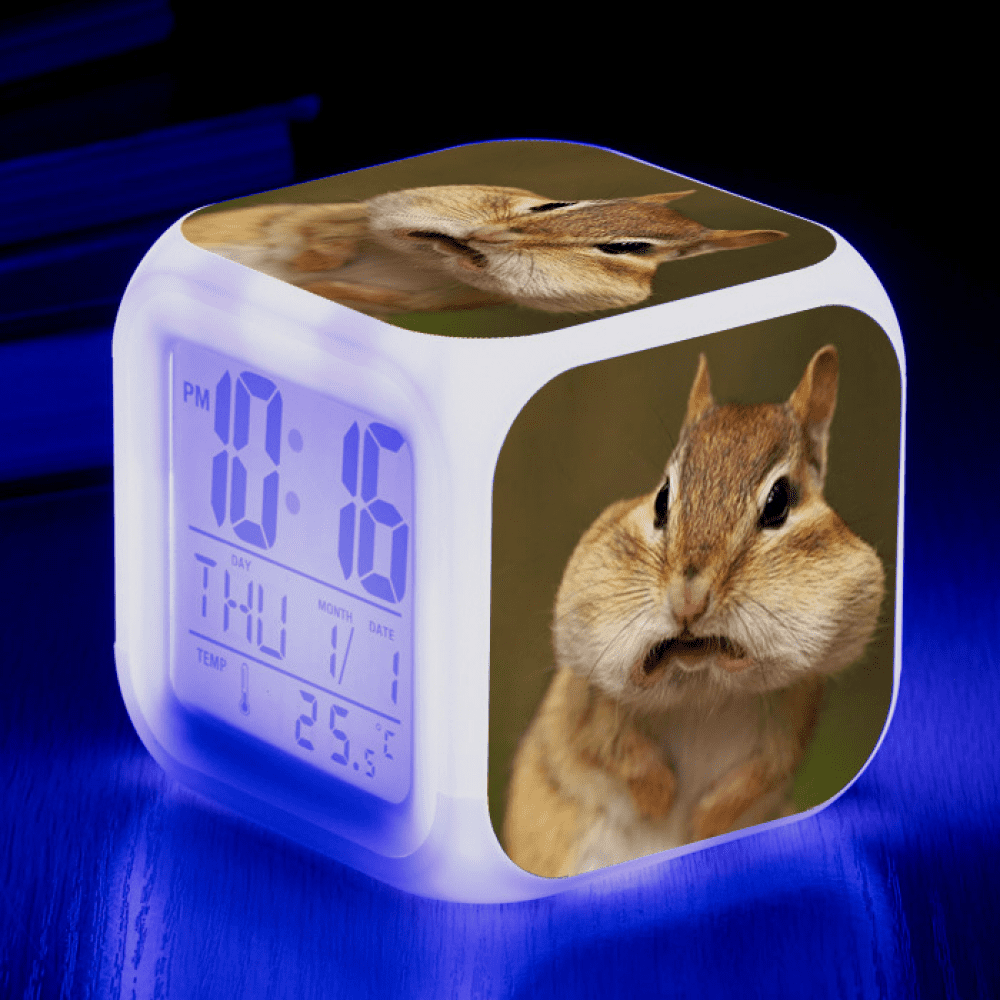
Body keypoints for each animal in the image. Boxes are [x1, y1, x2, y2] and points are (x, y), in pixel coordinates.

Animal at [503, 345, 885, 877]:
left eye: (779, 502)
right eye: (662, 498)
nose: (689, 599)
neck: (701, 681)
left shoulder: (798, 700)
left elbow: (768, 769)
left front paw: (705, 822)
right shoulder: (589, 685)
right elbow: (606, 740)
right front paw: (662, 798)